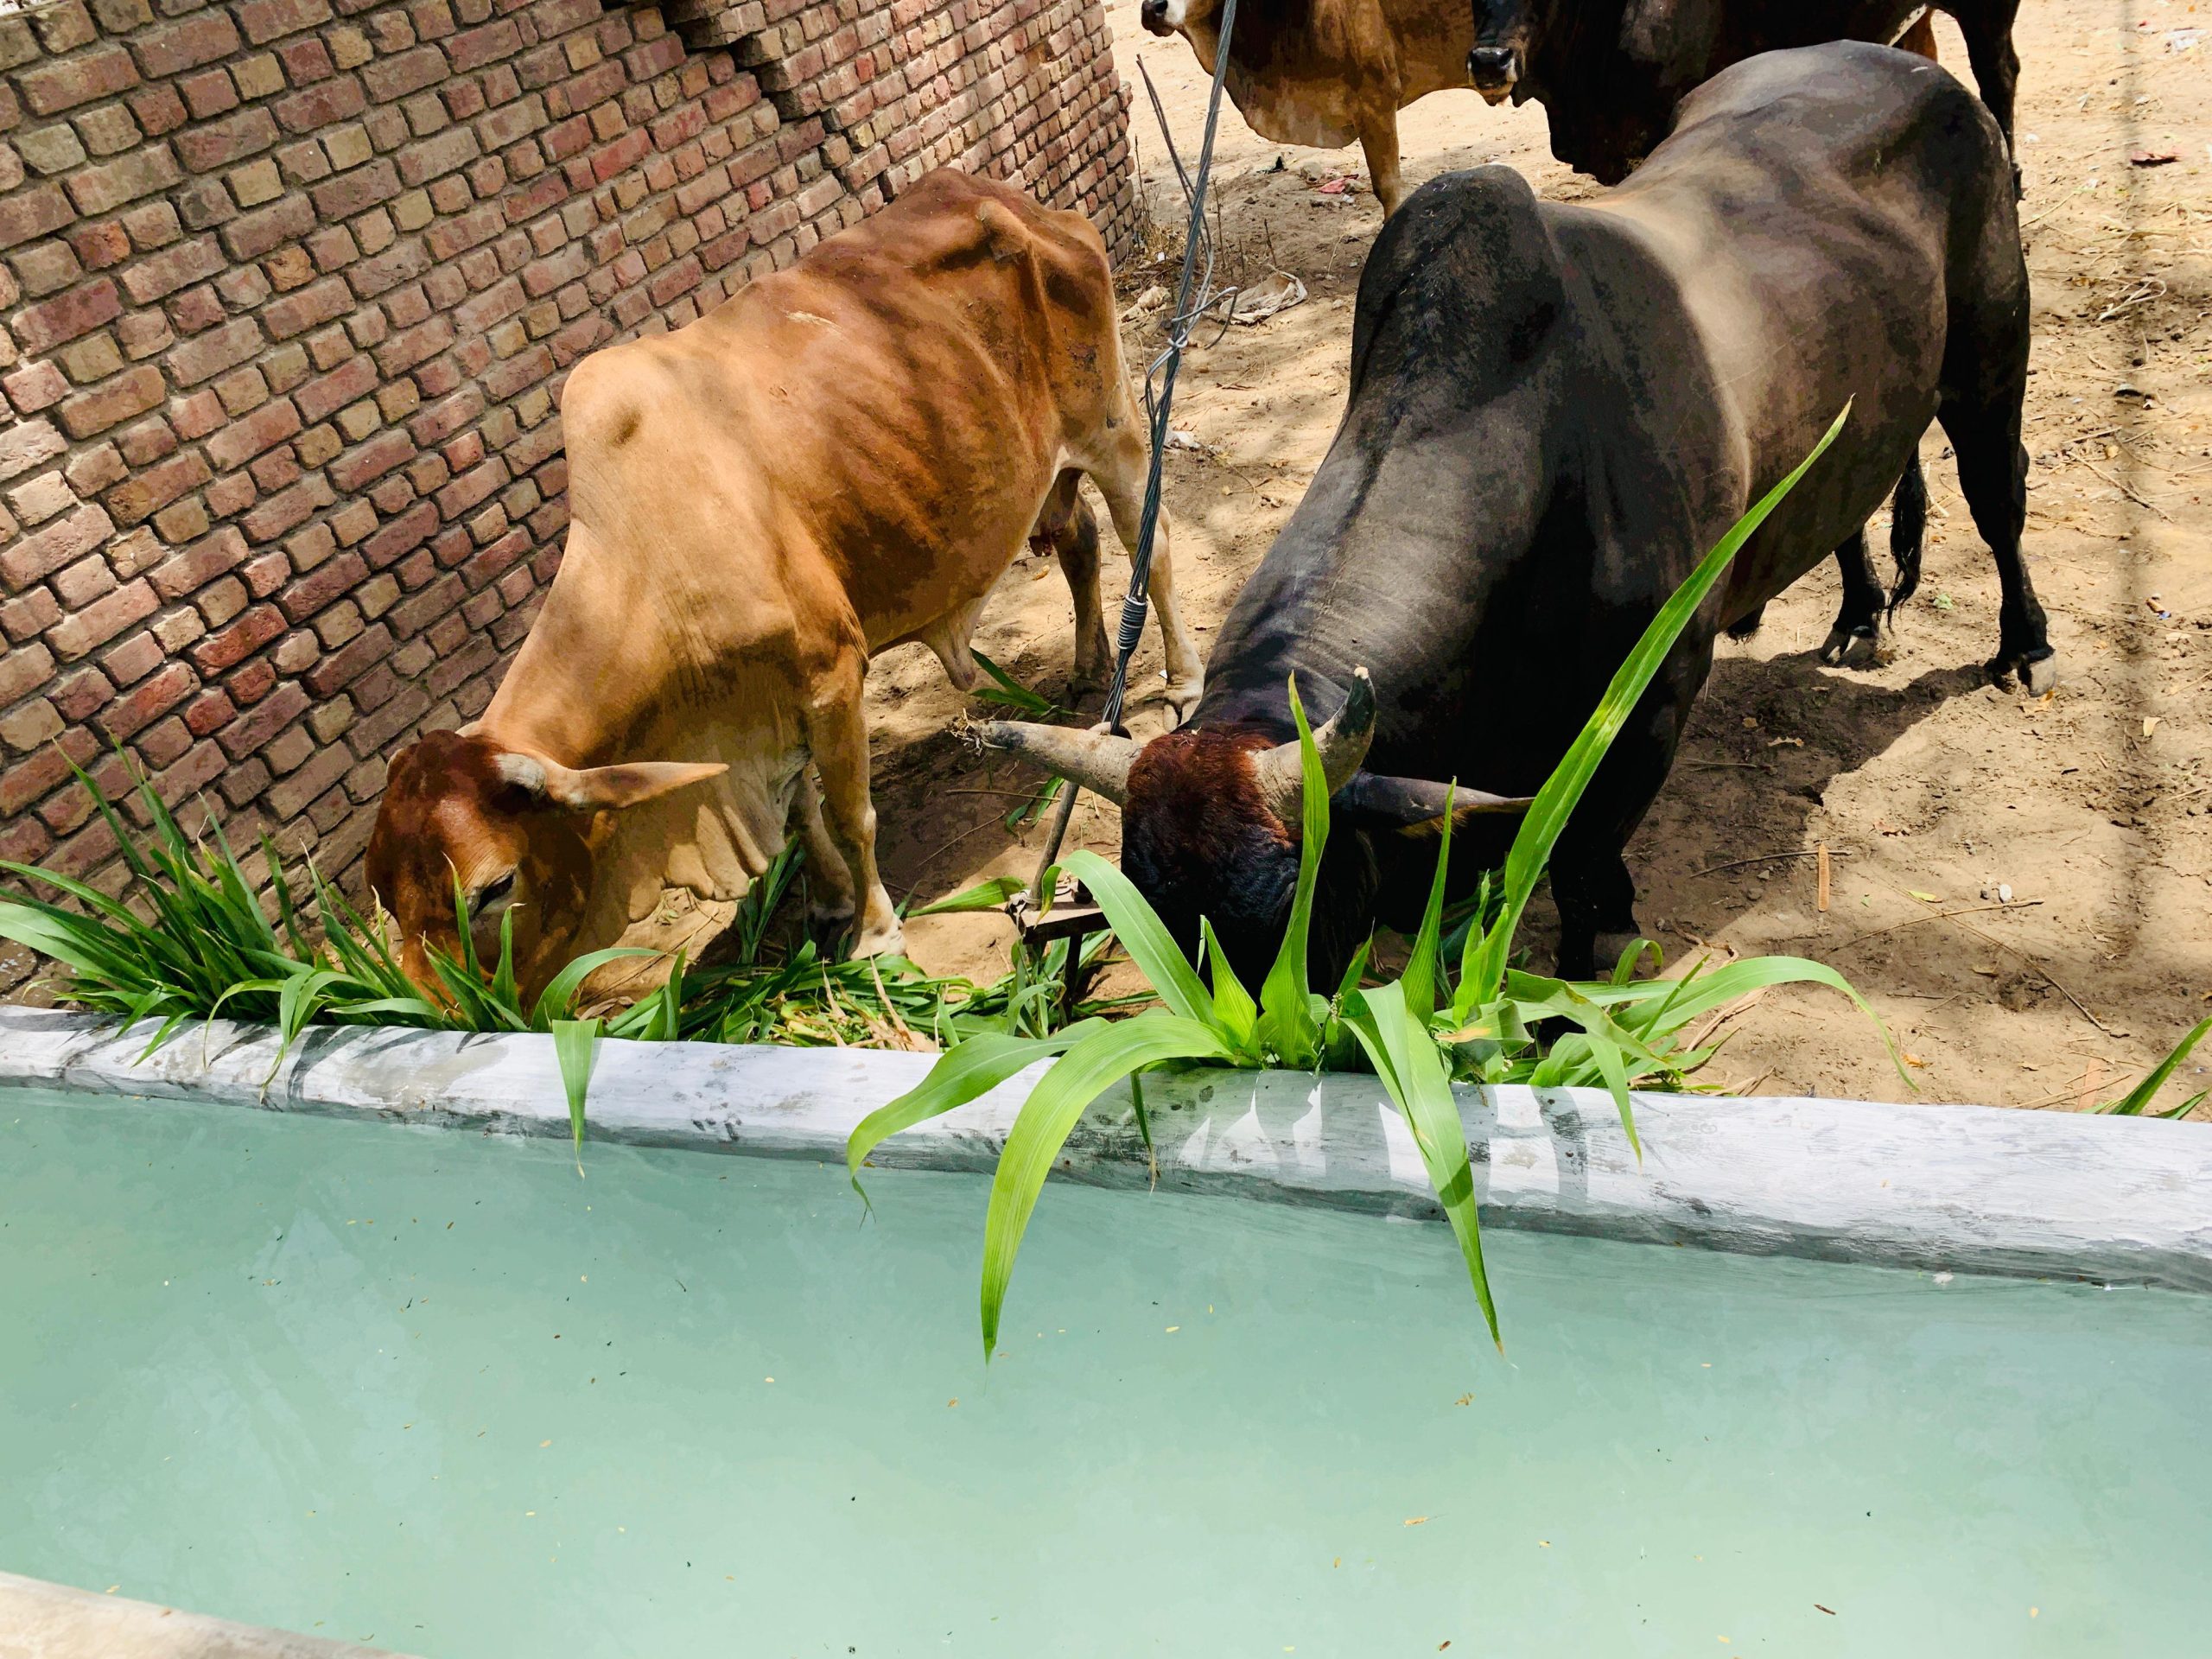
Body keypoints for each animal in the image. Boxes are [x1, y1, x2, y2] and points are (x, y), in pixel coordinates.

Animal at [363, 169, 1205, 1002]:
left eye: (494, 889)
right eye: (386, 899)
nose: (444, 1009)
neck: (658, 560)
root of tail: (1023, 204)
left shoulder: (832, 677)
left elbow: (853, 814)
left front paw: (876, 936)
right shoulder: (761, 708)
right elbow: (802, 818)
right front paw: (828, 907)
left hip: (1112, 425)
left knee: (1152, 543)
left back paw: (1183, 684)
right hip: (1047, 465)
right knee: (1079, 539)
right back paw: (1090, 667)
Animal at [975, 44, 2055, 985]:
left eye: (1294, 914)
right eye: (1156, 927)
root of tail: (1907, 63)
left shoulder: (1648, 705)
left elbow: (1583, 872)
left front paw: (1591, 973)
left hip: (1991, 357)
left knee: (1998, 496)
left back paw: (2023, 647)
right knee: (1851, 504)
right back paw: (1857, 618)